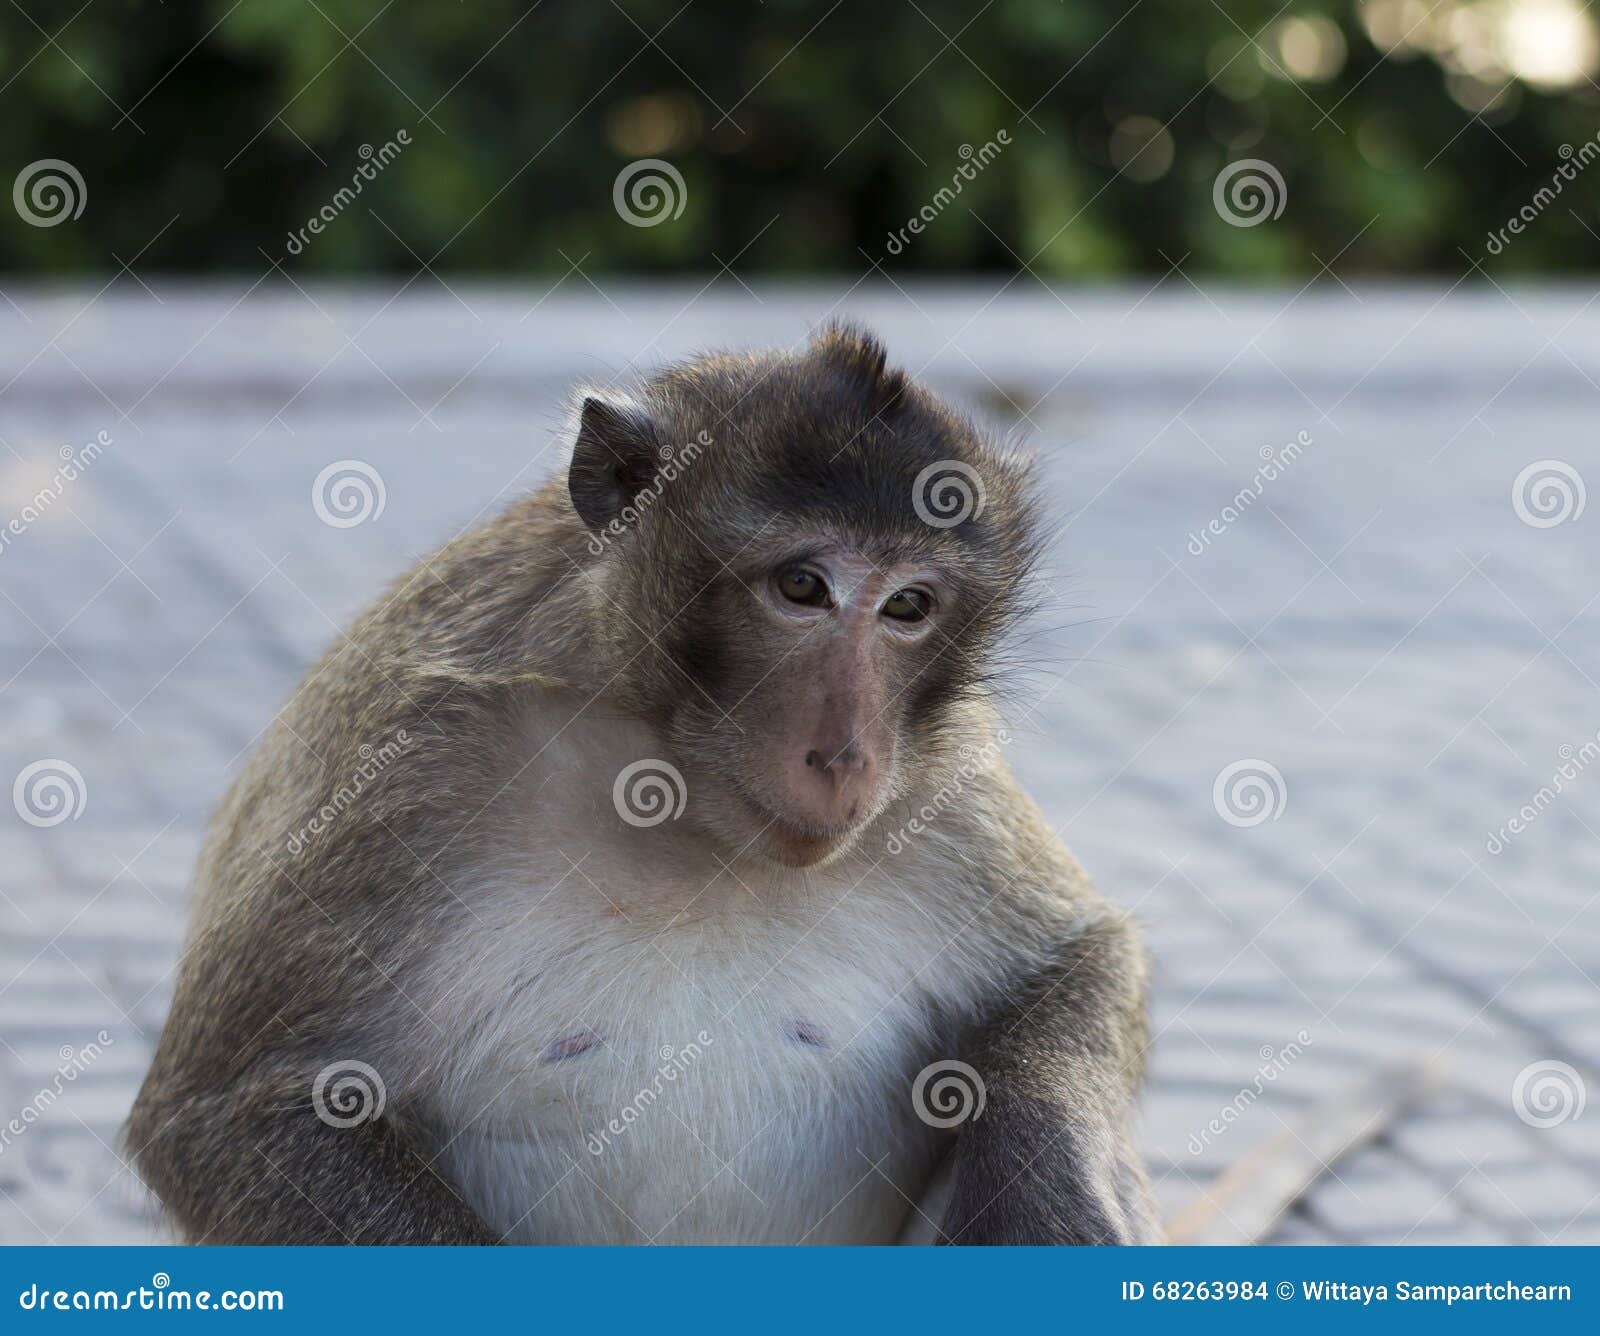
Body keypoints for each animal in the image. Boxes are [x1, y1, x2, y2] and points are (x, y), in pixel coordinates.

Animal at [125, 323, 1160, 1246]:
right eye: (802, 587)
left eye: (909, 605)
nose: (847, 757)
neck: (674, 796)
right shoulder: (414, 770)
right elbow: (234, 1111)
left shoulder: (942, 782)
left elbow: (1081, 958)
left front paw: (1046, 1205)